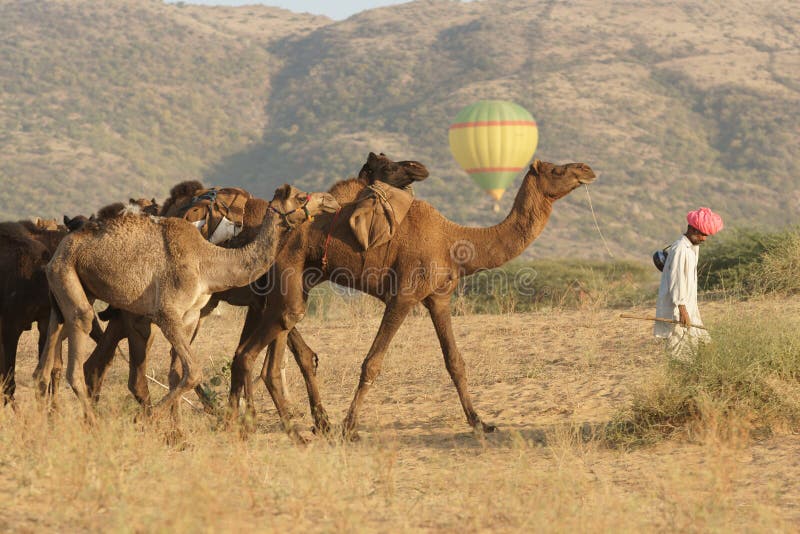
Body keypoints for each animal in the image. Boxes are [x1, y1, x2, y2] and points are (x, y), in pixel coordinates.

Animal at [35, 185, 339, 424]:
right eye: (301, 197)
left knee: (47, 359)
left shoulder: (191, 315)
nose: (331, 200)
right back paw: (93, 424)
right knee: (80, 337)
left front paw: (176, 433)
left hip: (66, 290)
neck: (209, 261)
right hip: (69, 277)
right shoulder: (166, 312)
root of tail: (61, 247)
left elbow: (178, 373)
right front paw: (146, 421)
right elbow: (193, 372)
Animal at [81, 153, 430, 413]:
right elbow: (293, 357)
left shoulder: (259, 301)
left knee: (99, 363)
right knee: (137, 368)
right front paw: (317, 422)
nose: (420, 167)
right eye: (389, 167)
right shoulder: (270, 298)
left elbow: (264, 355)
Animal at [225, 159, 597, 441]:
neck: (454, 241)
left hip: (292, 282)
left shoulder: (438, 298)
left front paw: (480, 422)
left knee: (271, 347)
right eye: (557, 170)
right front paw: (350, 427)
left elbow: (455, 362)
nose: (586, 169)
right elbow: (372, 362)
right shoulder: (403, 296)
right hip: (287, 276)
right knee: (265, 343)